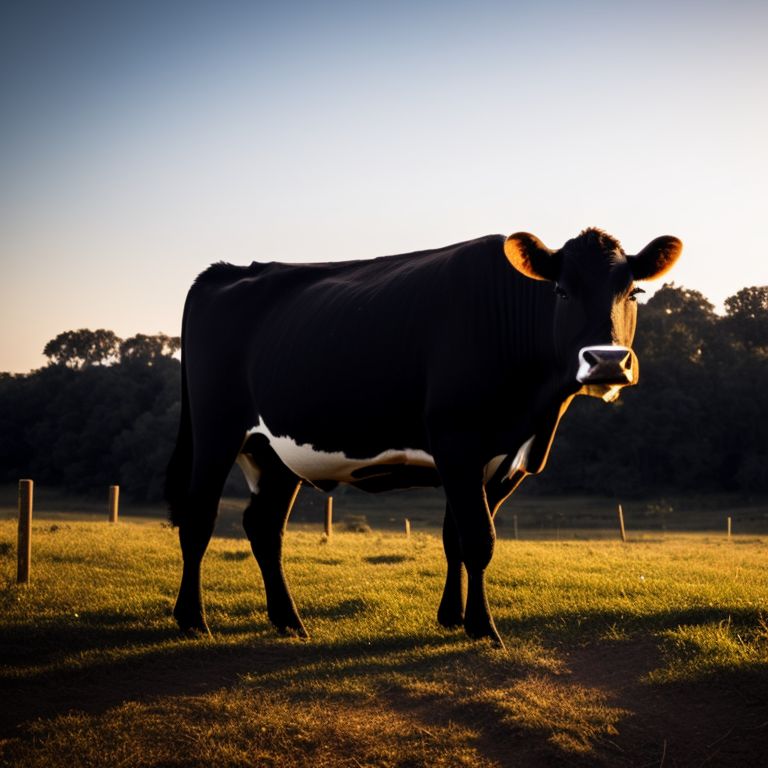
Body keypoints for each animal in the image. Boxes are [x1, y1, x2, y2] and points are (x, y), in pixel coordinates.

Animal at [166, 228, 682, 647]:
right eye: (561, 290)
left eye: (634, 291)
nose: (606, 360)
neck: (536, 414)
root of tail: (226, 271)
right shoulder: (457, 441)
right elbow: (479, 538)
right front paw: (484, 629)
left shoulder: (503, 460)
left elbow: (456, 537)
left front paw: (452, 618)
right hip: (215, 431)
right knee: (199, 518)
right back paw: (193, 620)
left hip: (274, 454)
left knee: (264, 526)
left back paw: (289, 621)